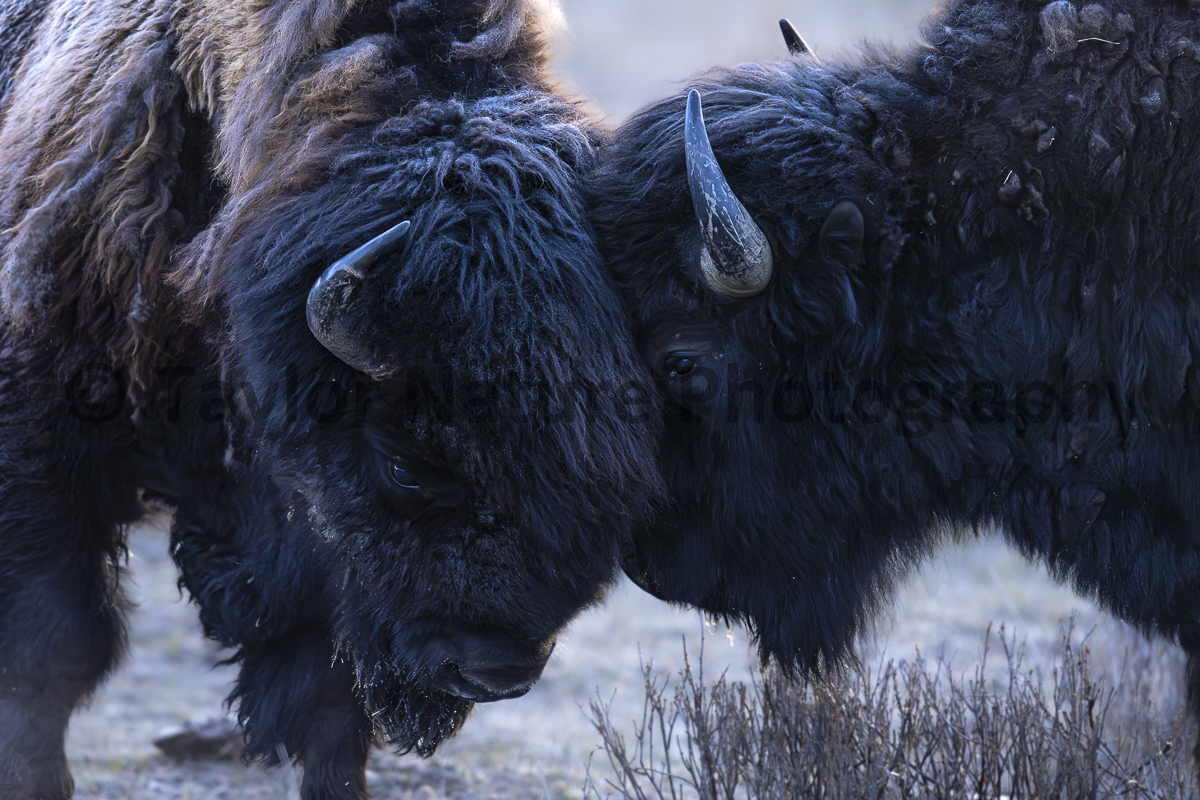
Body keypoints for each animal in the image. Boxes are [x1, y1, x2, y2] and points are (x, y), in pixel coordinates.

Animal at [0, 0, 660, 797]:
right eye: (406, 465)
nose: (497, 672)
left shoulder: (320, 544)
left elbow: (330, 699)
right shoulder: (44, 440)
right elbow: (59, 644)